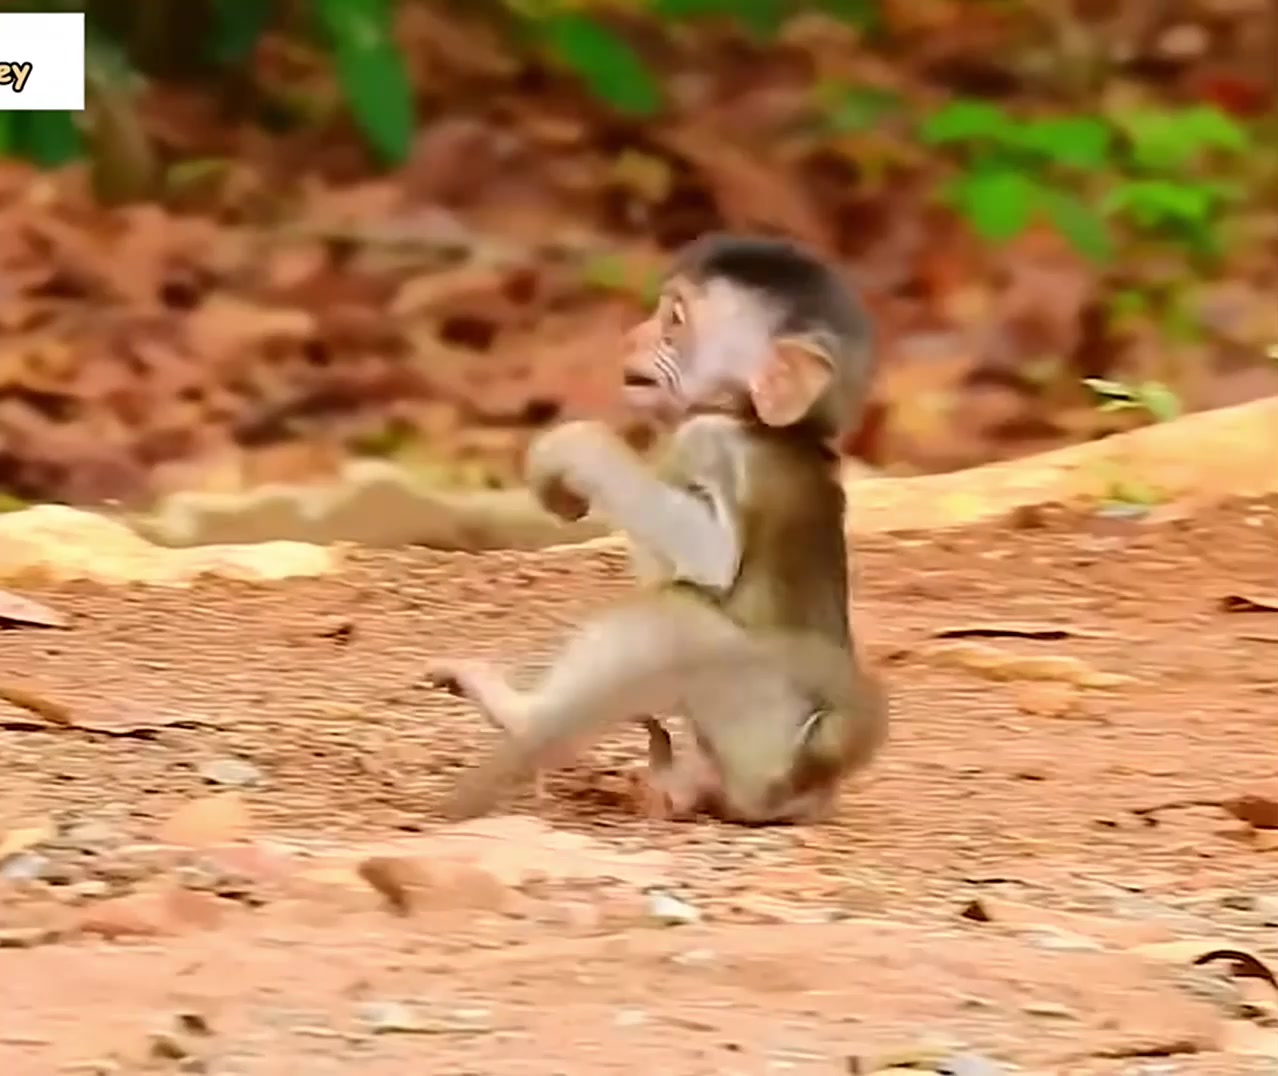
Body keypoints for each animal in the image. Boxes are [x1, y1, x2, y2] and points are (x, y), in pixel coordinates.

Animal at [427, 232, 887, 825]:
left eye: (674, 319)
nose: (631, 337)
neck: (764, 424)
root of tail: (809, 780)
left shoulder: (708, 440)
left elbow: (705, 556)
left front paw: (572, 451)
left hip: (752, 724)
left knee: (676, 619)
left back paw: (524, 718)